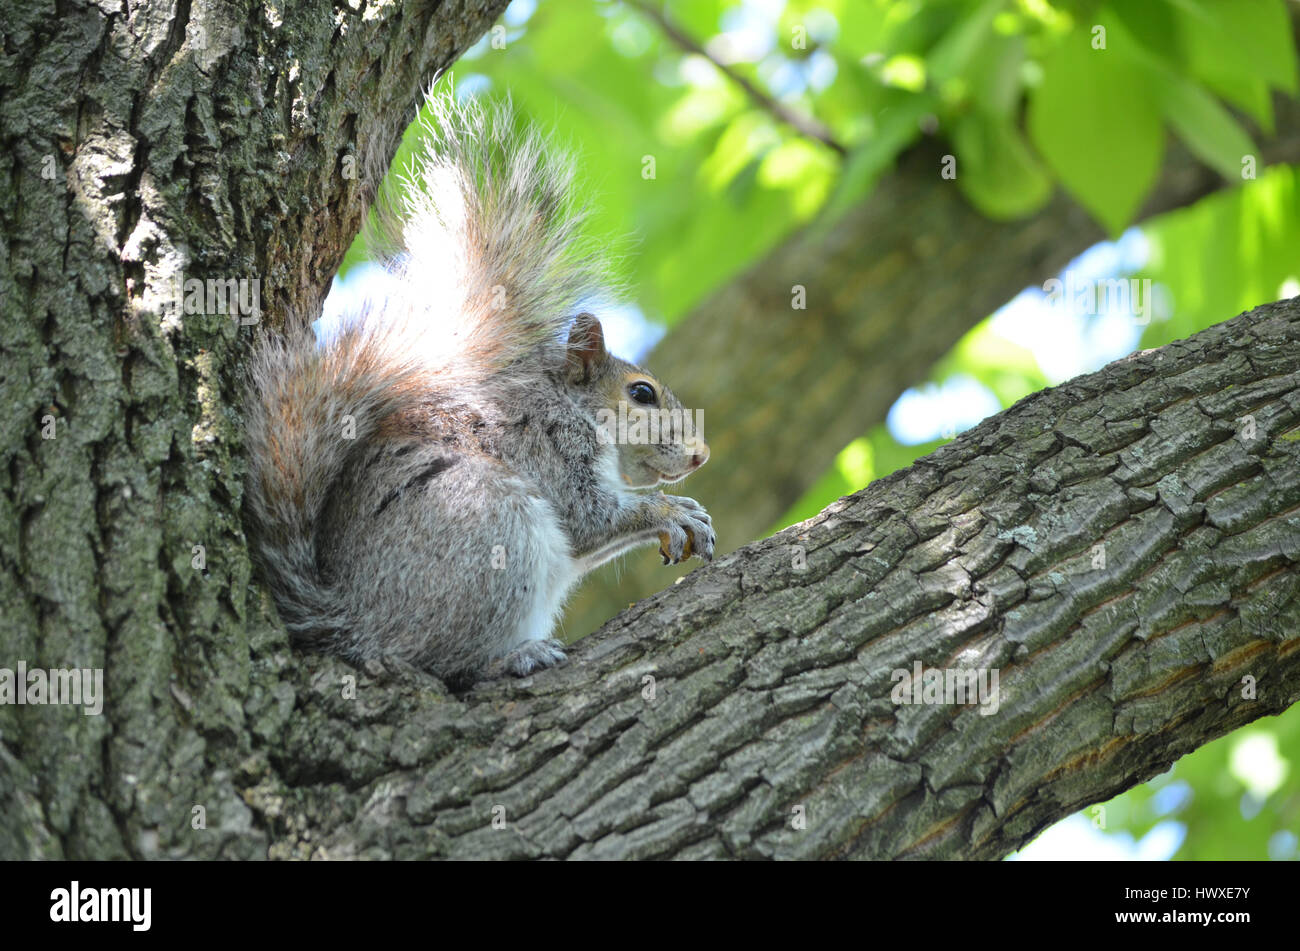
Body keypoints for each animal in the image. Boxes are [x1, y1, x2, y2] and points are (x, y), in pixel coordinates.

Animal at [243, 89, 712, 685]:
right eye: (642, 394)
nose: (701, 455)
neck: (573, 408)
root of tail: (352, 619)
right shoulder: (550, 446)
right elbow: (590, 518)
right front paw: (670, 513)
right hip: (488, 525)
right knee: (441, 661)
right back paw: (511, 656)